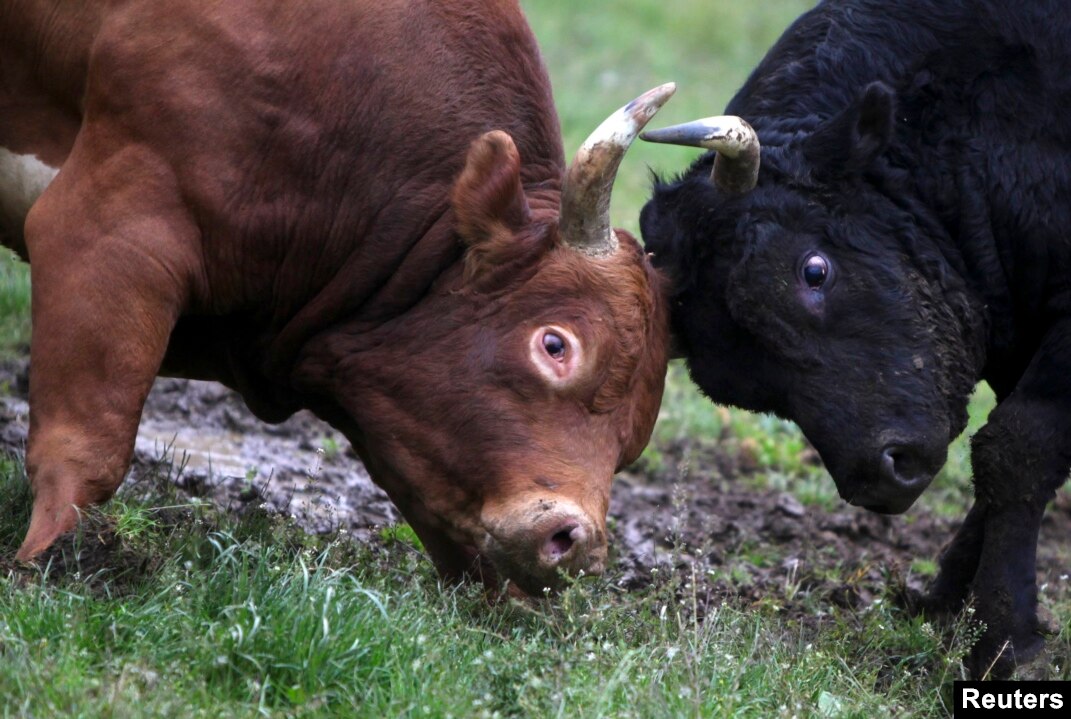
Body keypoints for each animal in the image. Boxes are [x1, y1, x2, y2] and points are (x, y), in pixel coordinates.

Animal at [0, 0, 674, 598]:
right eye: (555, 344)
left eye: (631, 442)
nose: (577, 544)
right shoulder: (109, 226)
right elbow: (90, 440)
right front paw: (47, 562)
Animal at [639, 0, 1071, 677]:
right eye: (740, 385)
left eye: (813, 270)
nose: (881, 473)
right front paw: (947, 603)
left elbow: (1016, 447)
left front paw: (1007, 641)